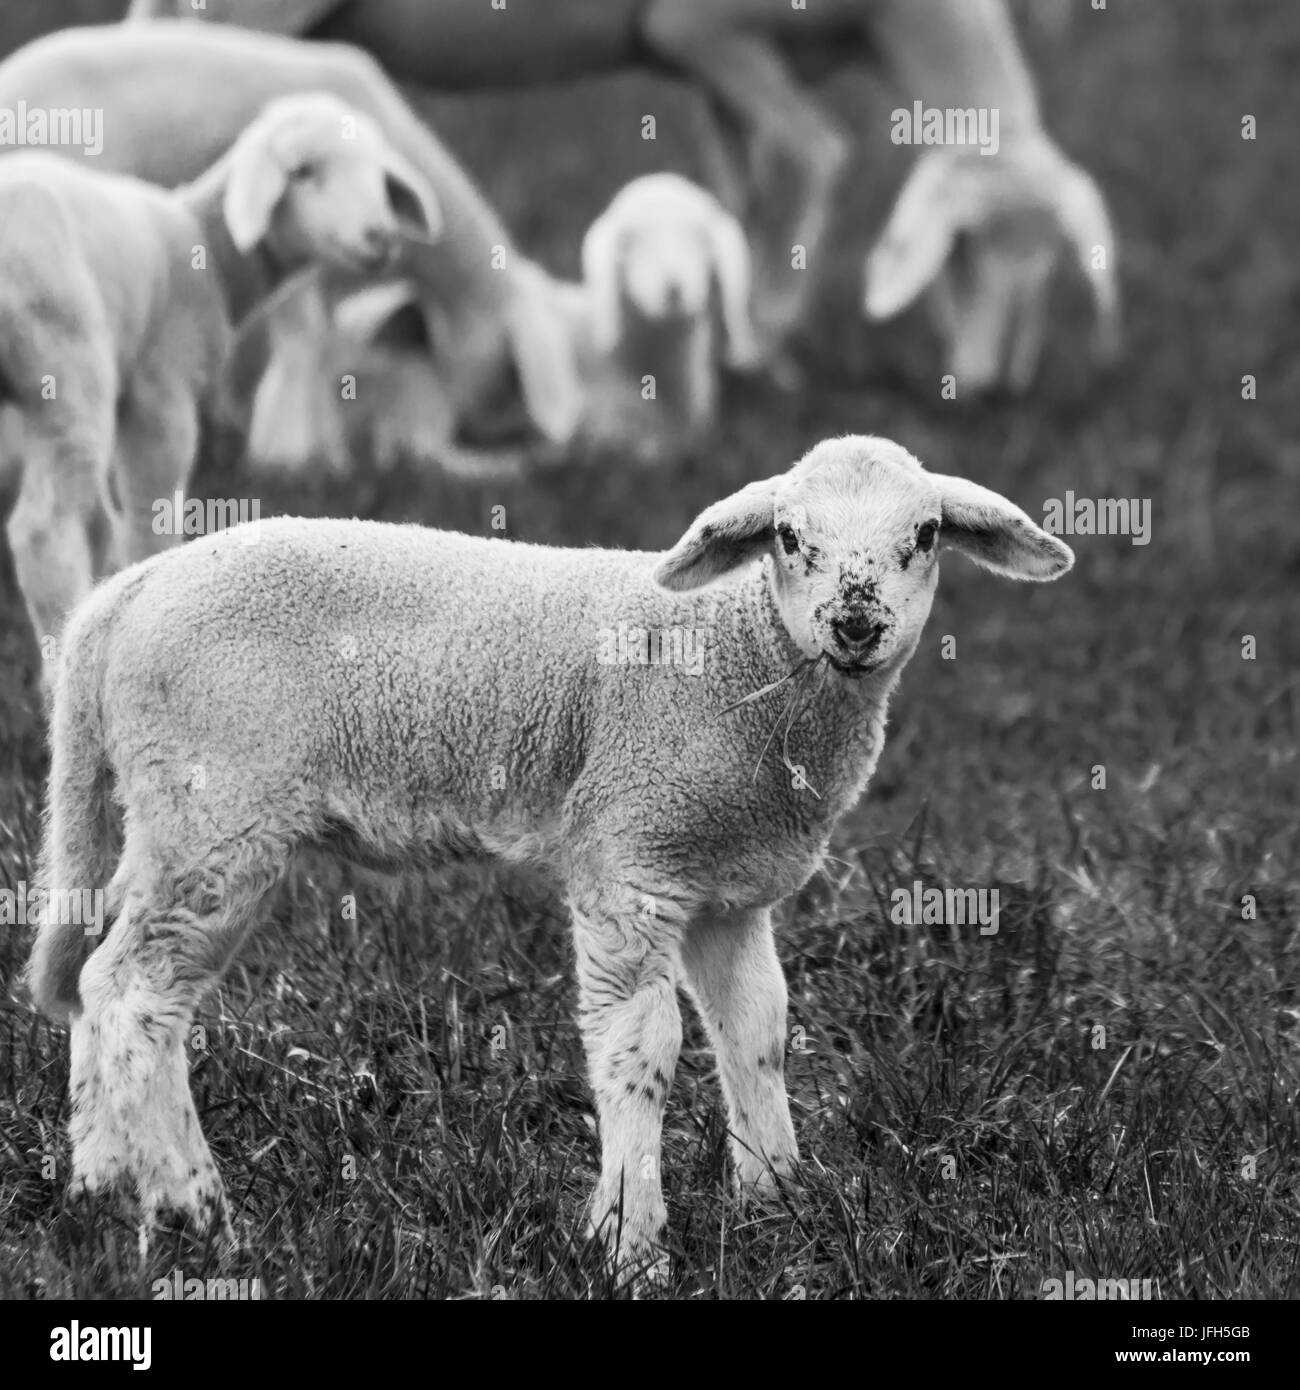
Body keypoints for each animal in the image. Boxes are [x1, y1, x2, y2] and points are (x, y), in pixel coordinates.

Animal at [0, 91, 441, 668]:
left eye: (379, 178)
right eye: (302, 172)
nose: (380, 236)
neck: (203, 246)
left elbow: (101, 526)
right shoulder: (160, 390)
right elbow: (146, 517)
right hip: (68, 366)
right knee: (44, 534)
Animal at [26, 434, 1073, 1269]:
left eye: (925, 535)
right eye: (786, 536)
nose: (856, 623)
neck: (742, 660)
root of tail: (116, 601)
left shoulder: (727, 888)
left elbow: (759, 1034)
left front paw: (782, 1205)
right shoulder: (629, 857)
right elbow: (642, 1049)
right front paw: (631, 1243)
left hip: (168, 809)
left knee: (91, 970)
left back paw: (102, 1185)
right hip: (219, 811)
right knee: (134, 993)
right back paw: (198, 1213)